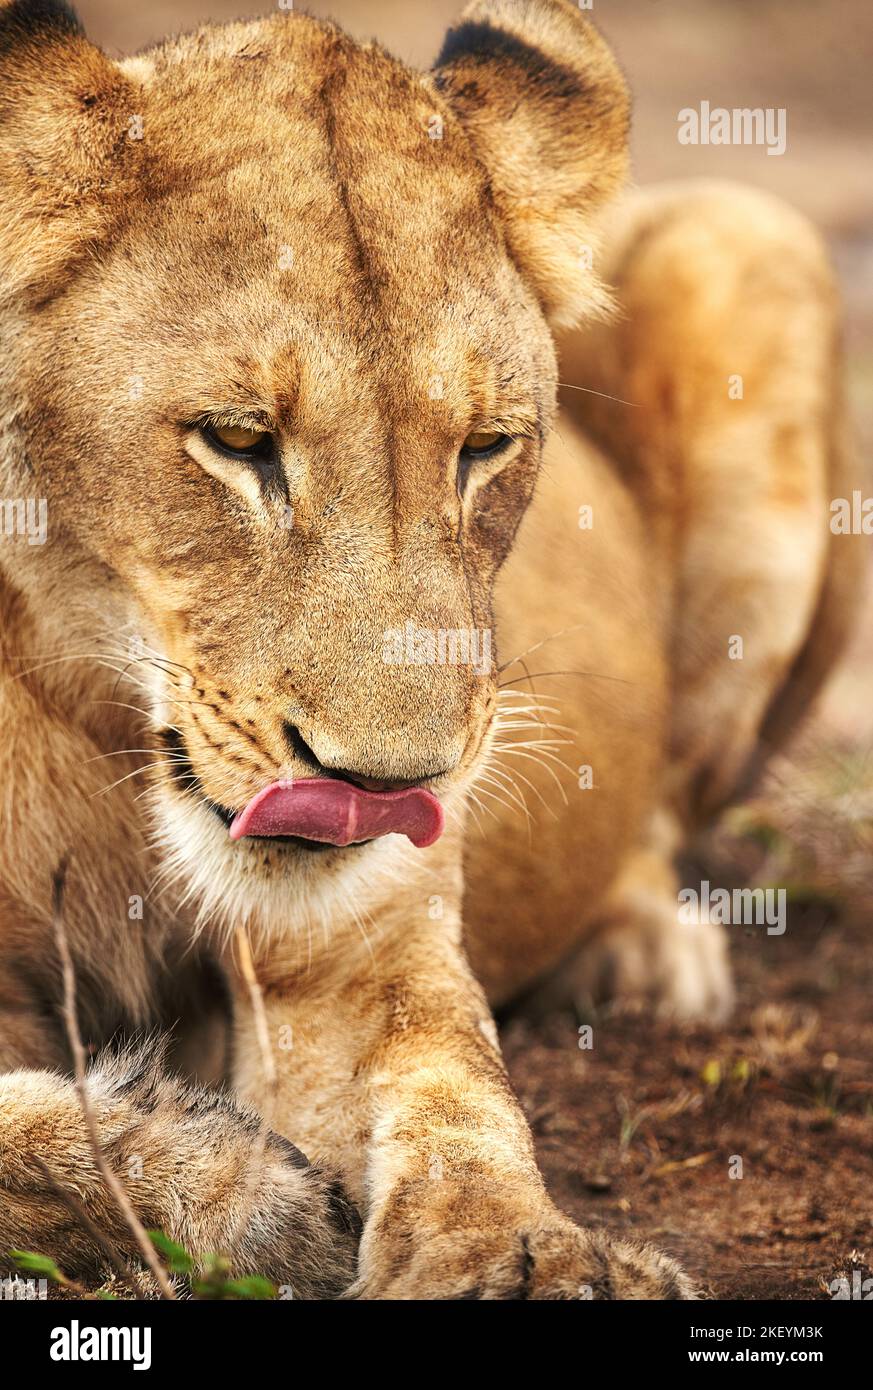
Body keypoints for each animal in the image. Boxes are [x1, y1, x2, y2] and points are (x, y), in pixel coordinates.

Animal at [0, 0, 860, 1299]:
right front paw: (236, 1183)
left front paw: (521, 1255)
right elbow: (23, 1138)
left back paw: (645, 955)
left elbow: (458, 1094)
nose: (385, 788)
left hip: (747, 233)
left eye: (486, 446)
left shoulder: (364, 951)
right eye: (237, 440)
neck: (103, 709)